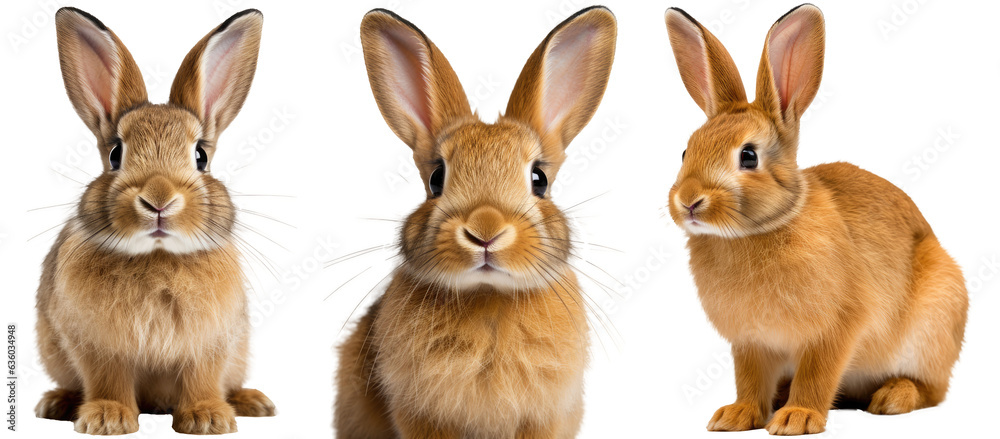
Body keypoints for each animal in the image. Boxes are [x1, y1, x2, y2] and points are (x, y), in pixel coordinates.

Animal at [34, 7, 274, 435]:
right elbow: (108, 378)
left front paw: (208, 419)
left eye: (200, 157)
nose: (158, 200)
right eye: (115, 154)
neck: (157, 256)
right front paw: (107, 419)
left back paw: (253, 402)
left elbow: (202, 377)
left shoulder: (211, 342)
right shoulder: (97, 344)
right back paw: (57, 403)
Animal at [663, 4, 968, 435]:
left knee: (932, 389)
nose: (688, 201)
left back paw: (892, 397)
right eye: (686, 151)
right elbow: (749, 379)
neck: (759, 230)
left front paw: (798, 418)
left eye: (748, 156)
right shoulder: (751, 343)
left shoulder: (836, 328)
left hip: (934, 321)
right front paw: (736, 415)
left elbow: (817, 374)